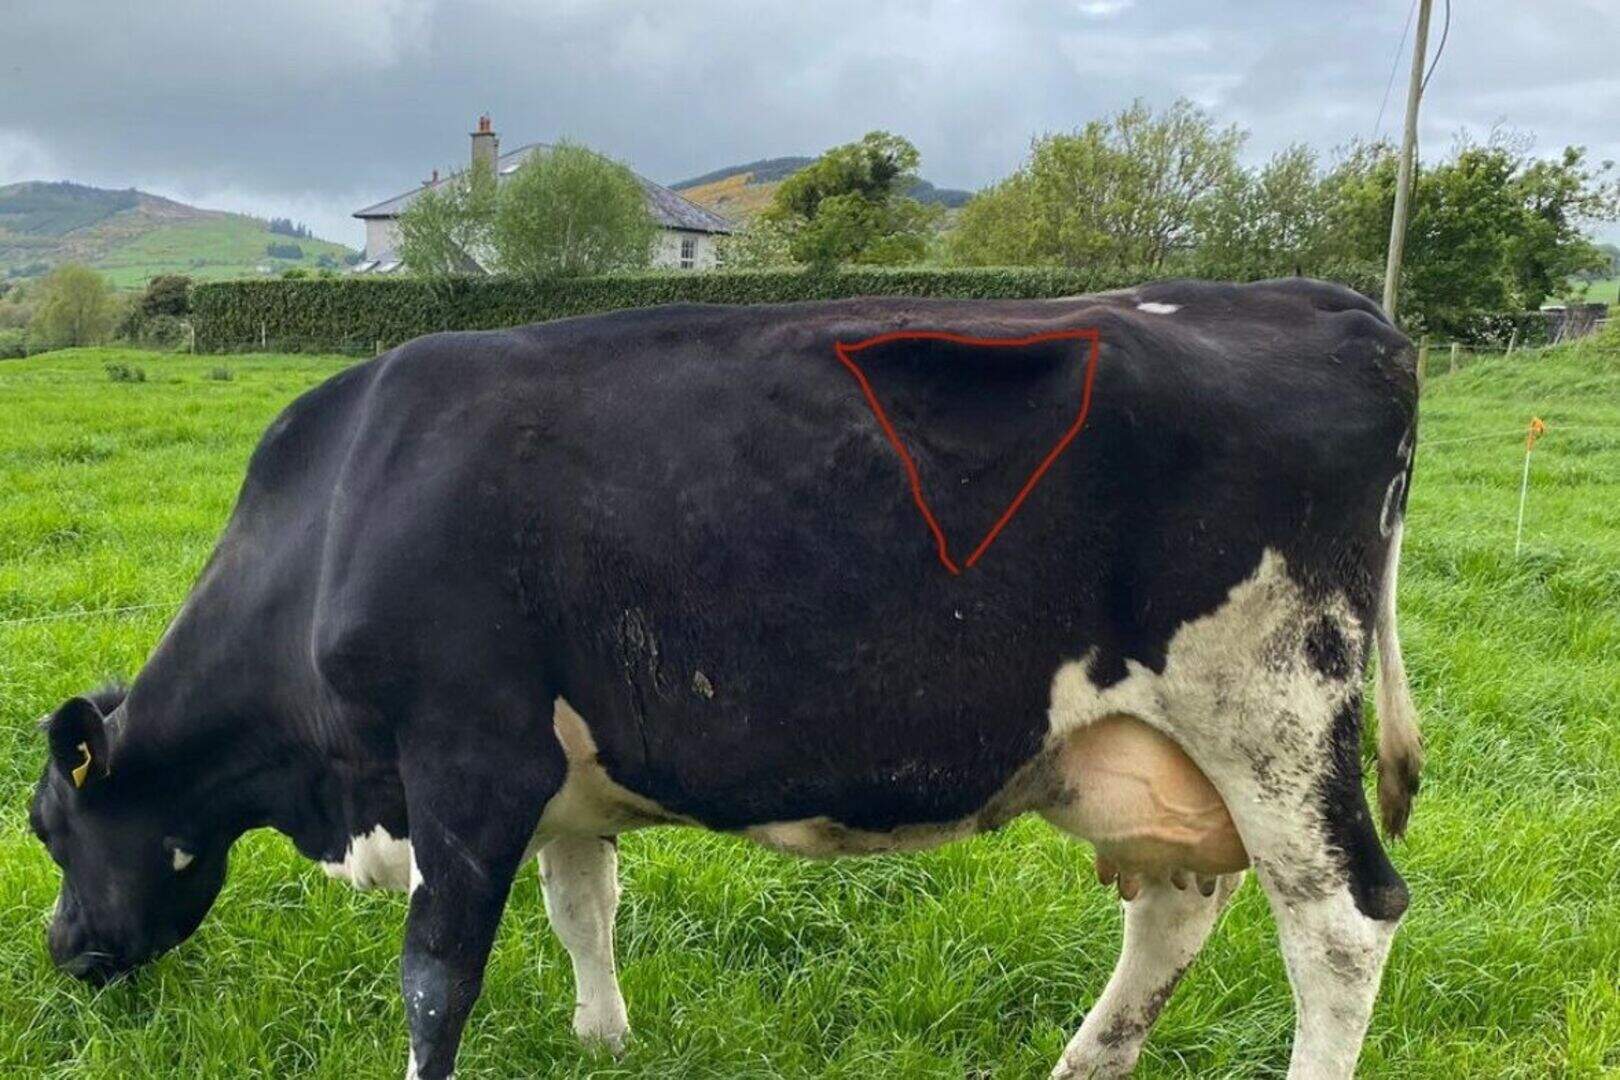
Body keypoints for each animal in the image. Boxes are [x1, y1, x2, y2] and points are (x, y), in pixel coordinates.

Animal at [28, 277, 1422, 1079]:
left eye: (49, 825)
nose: (59, 952)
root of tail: (1329, 302)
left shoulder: (468, 757)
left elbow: (437, 974)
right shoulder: (559, 777)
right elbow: (582, 907)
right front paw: (604, 1041)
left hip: (1275, 703)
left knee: (1340, 924)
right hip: (1162, 748)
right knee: (1180, 903)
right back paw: (1083, 1064)